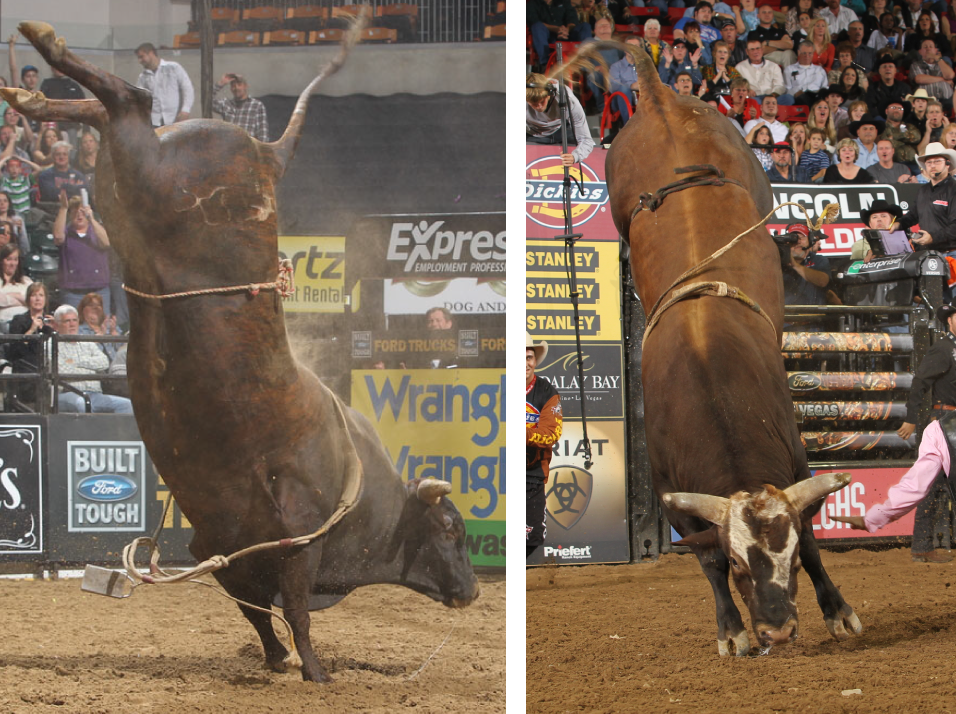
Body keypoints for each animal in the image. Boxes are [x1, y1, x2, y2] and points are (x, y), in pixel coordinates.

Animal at [1, 22, 479, 683]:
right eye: (452, 528)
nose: (473, 591)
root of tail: (266, 153)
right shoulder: (299, 540)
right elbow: (294, 609)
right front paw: (313, 669)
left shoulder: (221, 547)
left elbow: (255, 611)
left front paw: (276, 658)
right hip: (149, 168)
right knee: (130, 98)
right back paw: (45, 52)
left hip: (124, 178)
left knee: (108, 111)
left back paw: (33, 94)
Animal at [598, 42, 862, 656]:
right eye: (742, 567)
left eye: (789, 567)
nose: (779, 630)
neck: (712, 384)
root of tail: (663, 97)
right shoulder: (670, 487)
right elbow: (705, 559)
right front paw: (733, 631)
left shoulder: (794, 455)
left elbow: (811, 536)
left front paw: (837, 612)